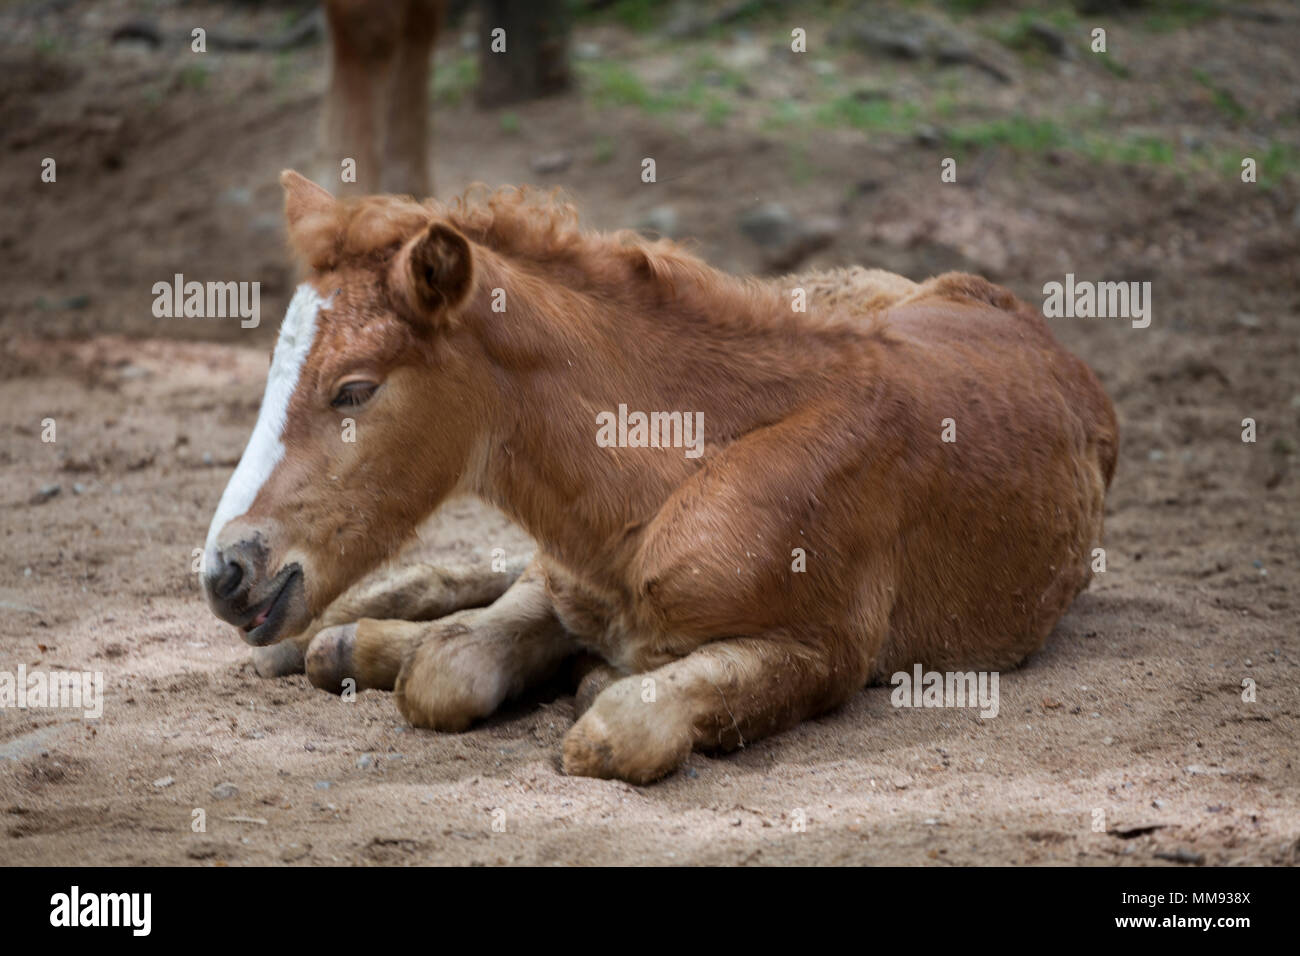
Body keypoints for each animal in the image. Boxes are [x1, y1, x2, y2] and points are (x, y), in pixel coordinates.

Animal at [201, 170, 1118, 783]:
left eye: (354, 389)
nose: (224, 572)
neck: (679, 472)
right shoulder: (566, 582)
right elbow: (448, 669)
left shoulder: (825, 653)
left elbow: (617, 727)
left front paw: (593, 681)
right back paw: (338, 636)